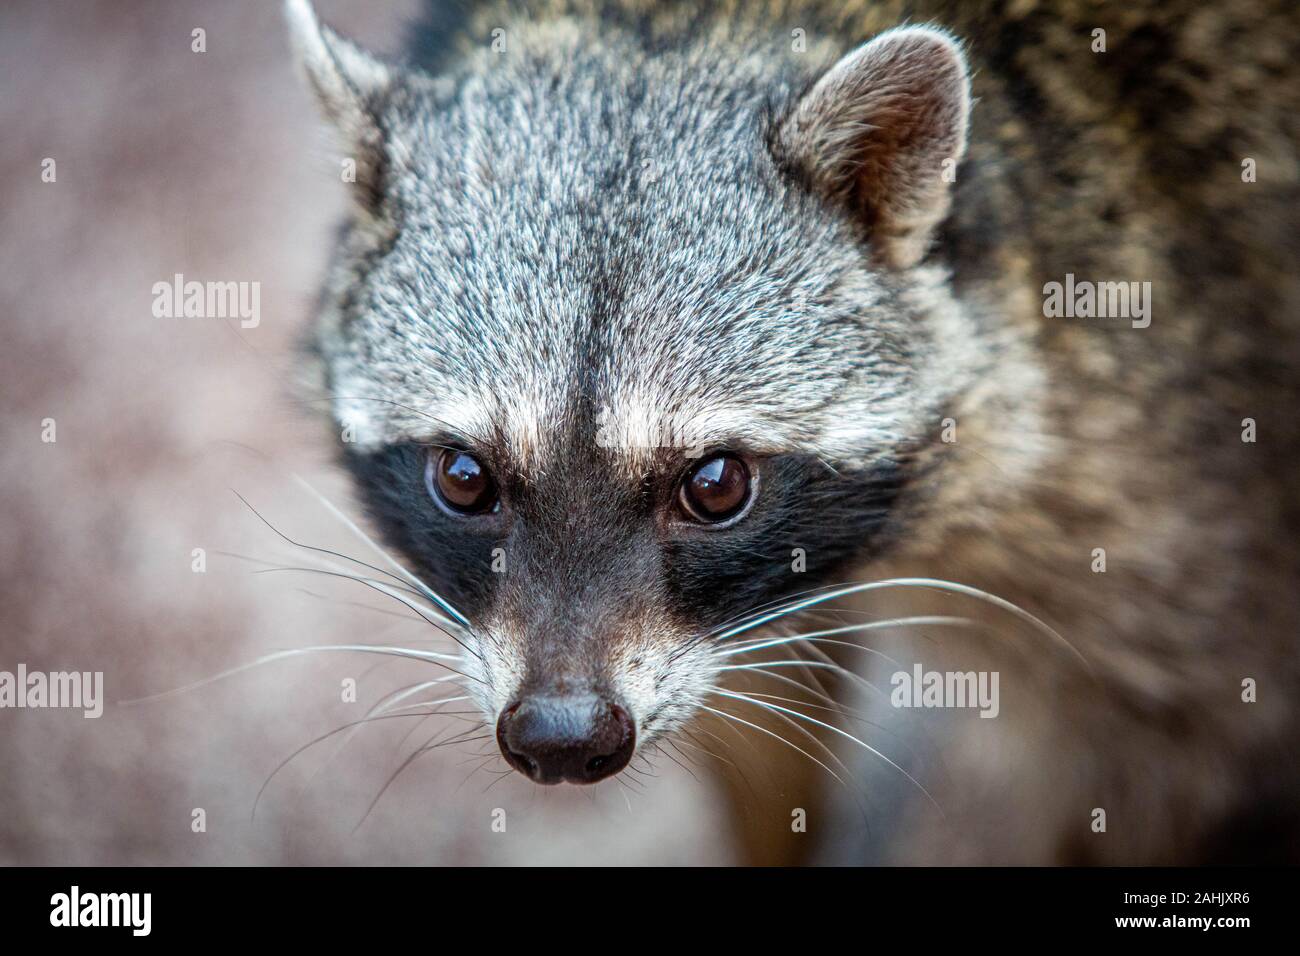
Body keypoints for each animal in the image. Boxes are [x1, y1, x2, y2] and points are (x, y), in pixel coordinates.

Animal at [285, 0, 1300, 864]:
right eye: (463, 477)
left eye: (716, 484)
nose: (561, 742)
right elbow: (759, 723)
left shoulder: (1167, 459)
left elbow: (1164, 755)